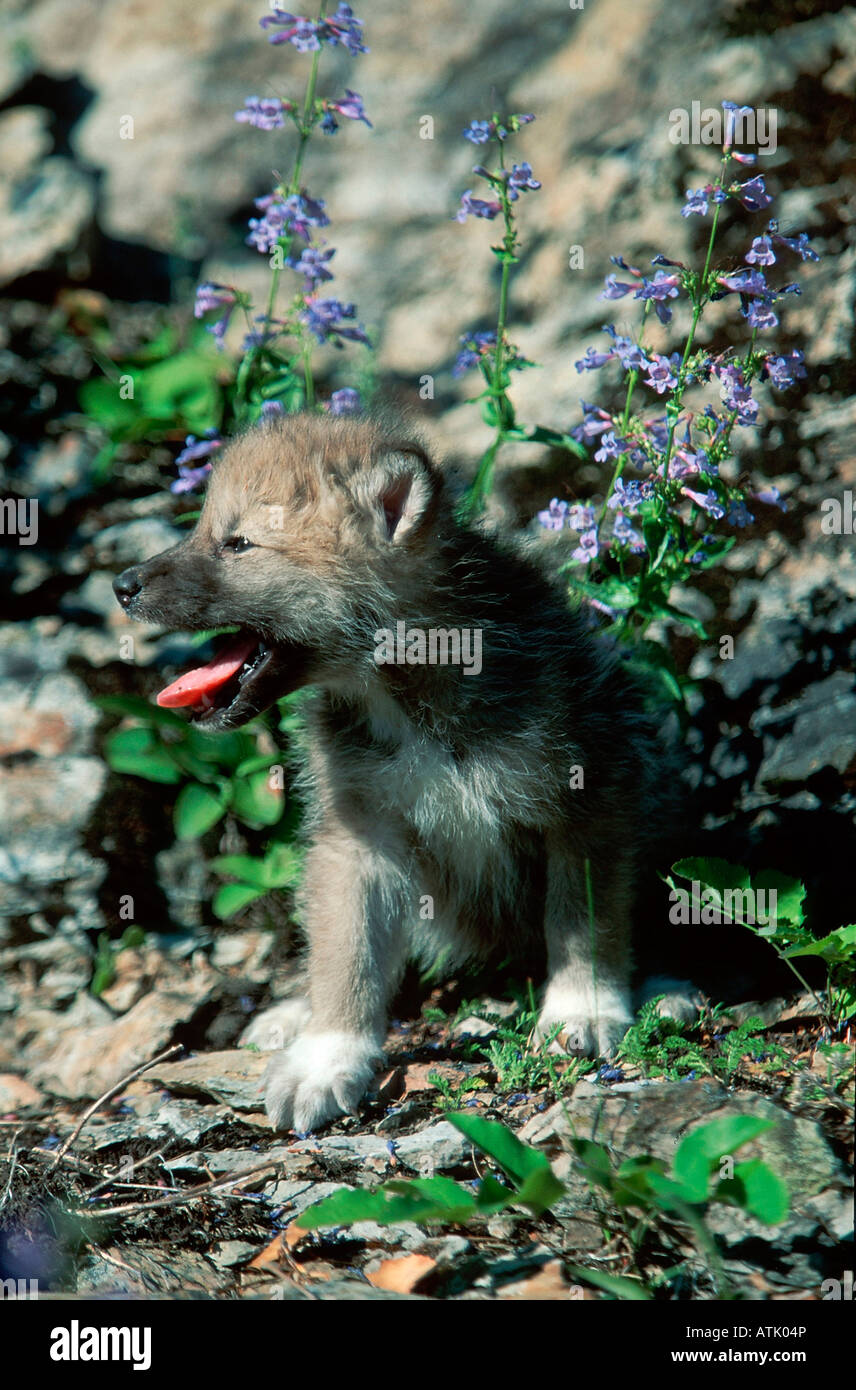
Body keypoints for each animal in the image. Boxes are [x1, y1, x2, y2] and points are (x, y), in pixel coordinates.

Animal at [113, 410, 669, 1132]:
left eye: (238, 544)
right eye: (202, 530)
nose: (122, 585)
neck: (408, 699)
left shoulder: (588, 796)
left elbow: (581, 922)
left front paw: (585, 1010)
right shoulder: (357, 835)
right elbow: (347, 953)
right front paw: (327, 1056)